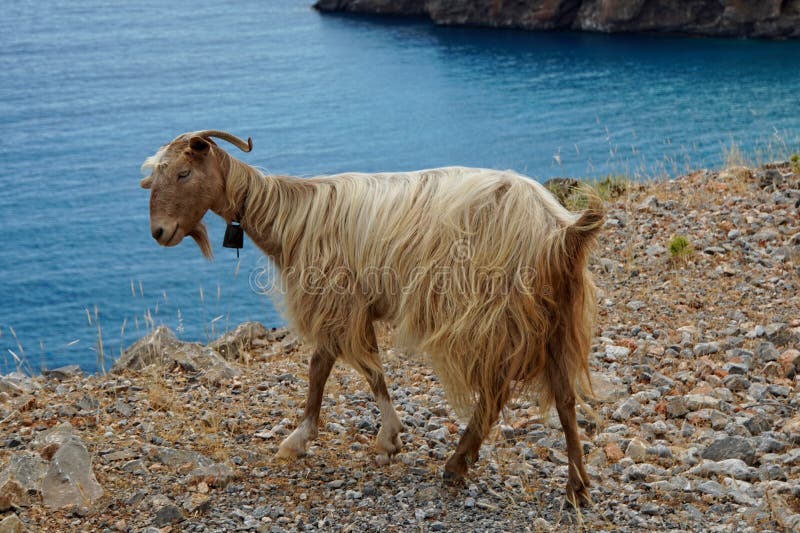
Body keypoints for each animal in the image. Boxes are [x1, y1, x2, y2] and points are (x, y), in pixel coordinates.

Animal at [141, 130, 604, 505]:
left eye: (184, 173)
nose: (158, 233)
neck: (293, 219)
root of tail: (560, 232)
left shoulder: (338, 302)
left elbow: (339, 369)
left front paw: (347, 438)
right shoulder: (348, 308)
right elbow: (352, 368)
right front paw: (365, 436)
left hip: (489, 313)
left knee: (495, 392)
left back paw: (458, 463)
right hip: (556, 317)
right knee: (564, 398)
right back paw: (576, 487)